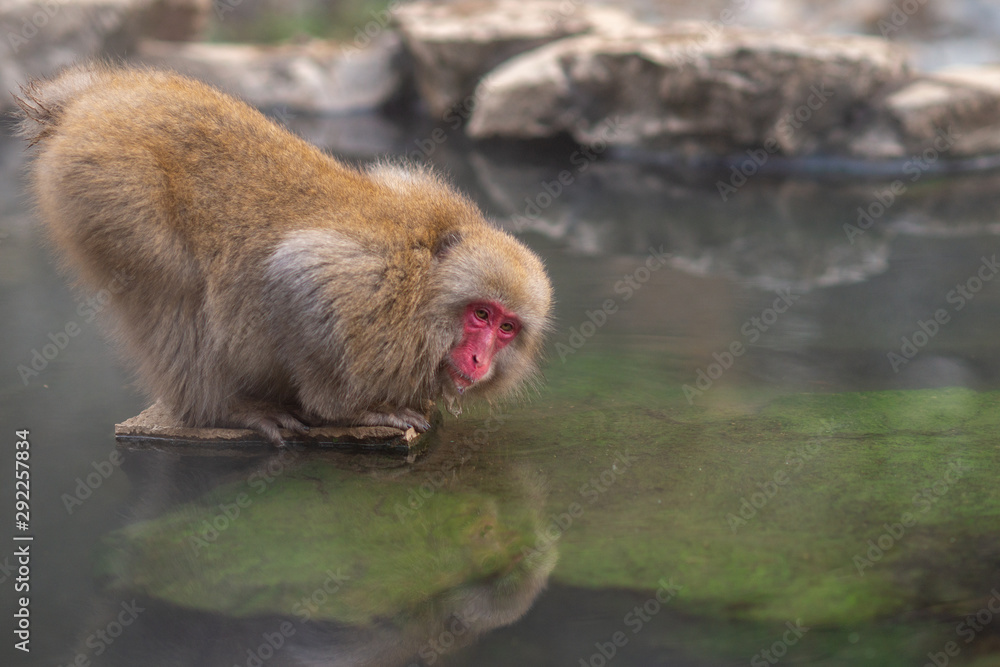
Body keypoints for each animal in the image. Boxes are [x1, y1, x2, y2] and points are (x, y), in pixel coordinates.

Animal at [13, 64, 552, 445]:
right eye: (481, 315)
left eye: (506, 327)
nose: (480, 358)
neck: (426, 286)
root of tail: (89, 99)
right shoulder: (370, 282)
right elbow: (296, 271)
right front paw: (350, 409)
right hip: (110, 183)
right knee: (173, 290)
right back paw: (217, 410)